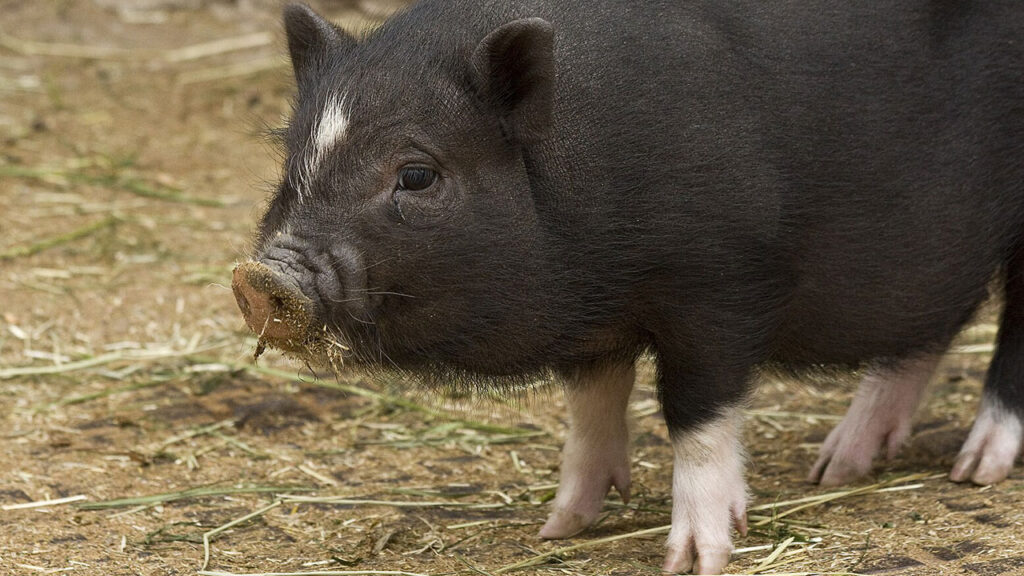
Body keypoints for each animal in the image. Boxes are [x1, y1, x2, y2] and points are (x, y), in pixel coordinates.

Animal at [231, 1, 1024, 573]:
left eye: (417, 174)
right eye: (294, 159)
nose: (260, 276)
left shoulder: (724, 285)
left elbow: (697, 414)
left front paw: (695, 559)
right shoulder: (592, 319)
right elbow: (590, 404)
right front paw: (558, 528)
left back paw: (974, 472)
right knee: (932, 324)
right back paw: (838, 467)